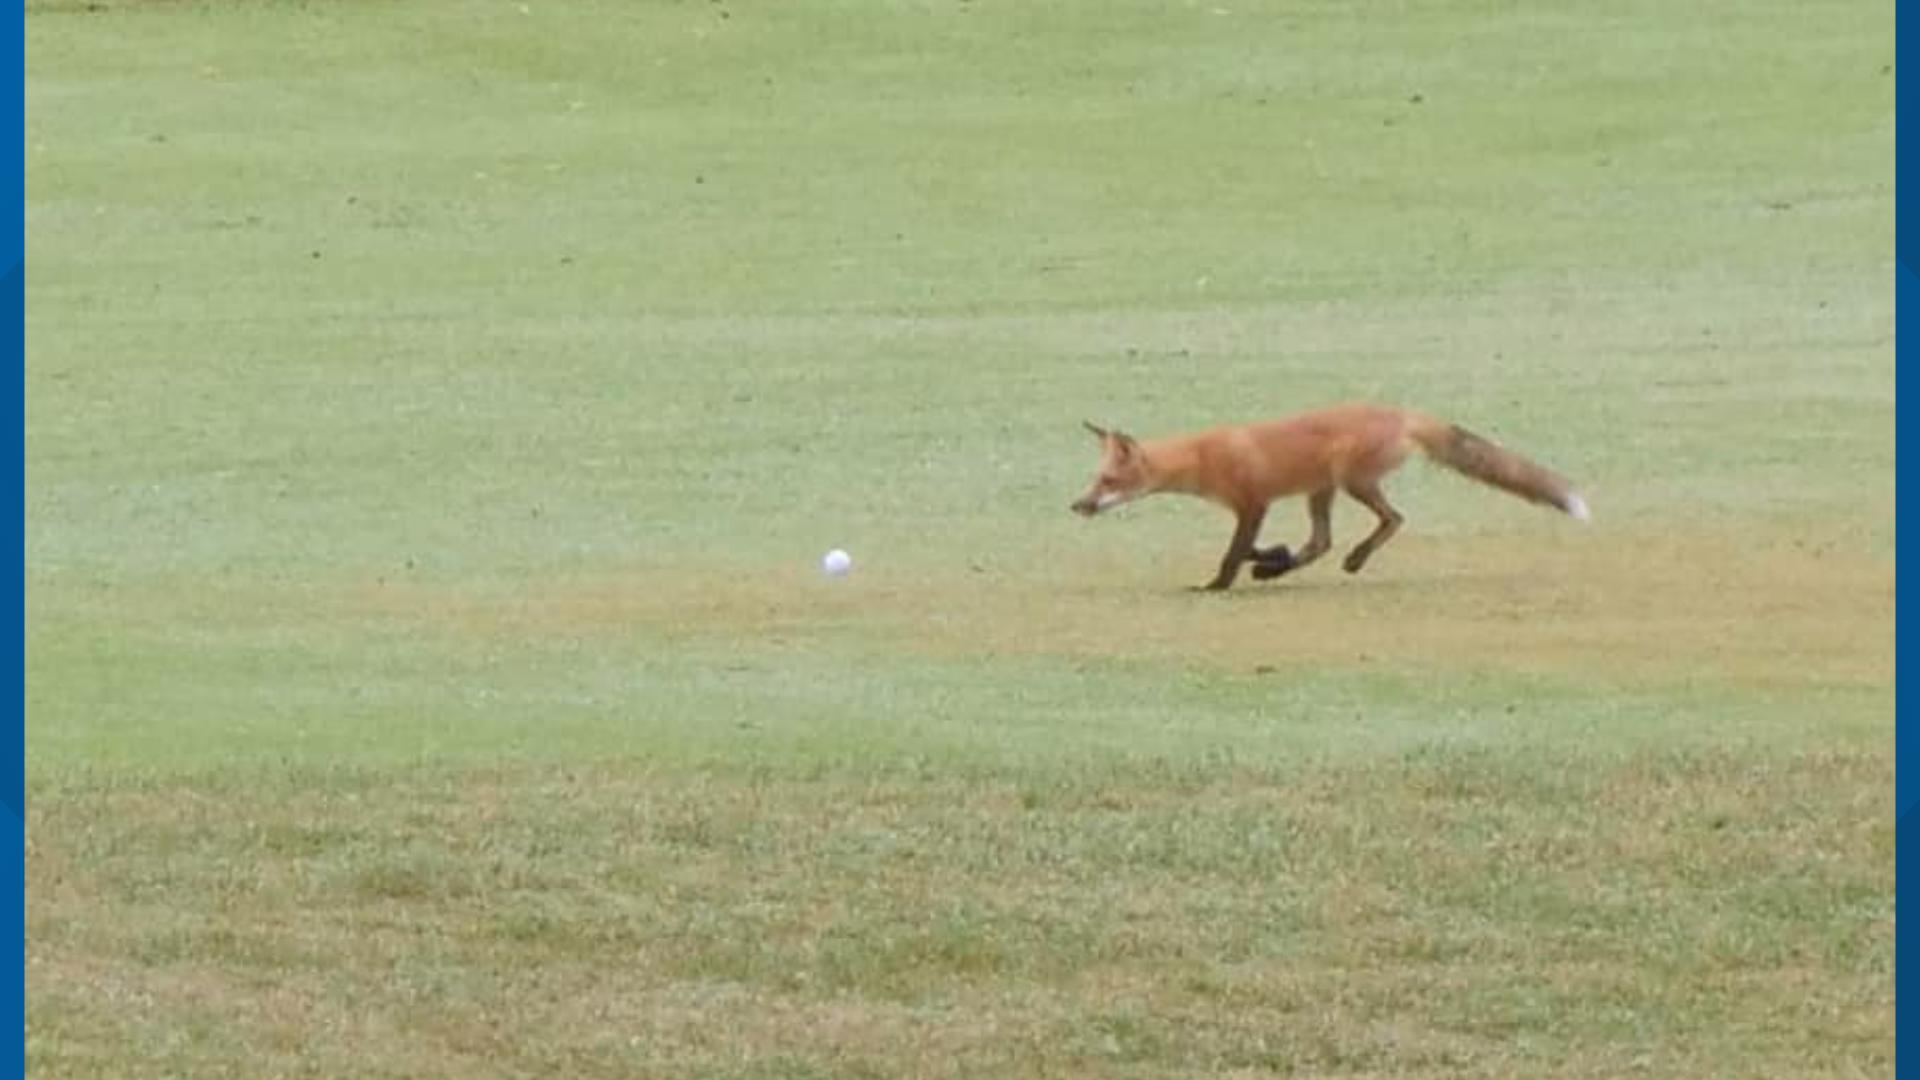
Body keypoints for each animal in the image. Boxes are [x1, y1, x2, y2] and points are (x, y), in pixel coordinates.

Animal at [1070, 402, 1589, 591]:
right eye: (1095, 479)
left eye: (1107, 482)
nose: (1077, 506)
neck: (1201, 457)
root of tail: (1403, 413)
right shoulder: (1257, 507)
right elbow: (1252, 547)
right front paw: (1269, 557)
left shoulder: (1252, 503)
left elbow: (1233, 552)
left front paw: (1218, 584)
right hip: (1322, 491)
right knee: (1321, 542)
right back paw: (1279, 568)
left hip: (1351, 482)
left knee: (1393, 519)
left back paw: (1354, 560)